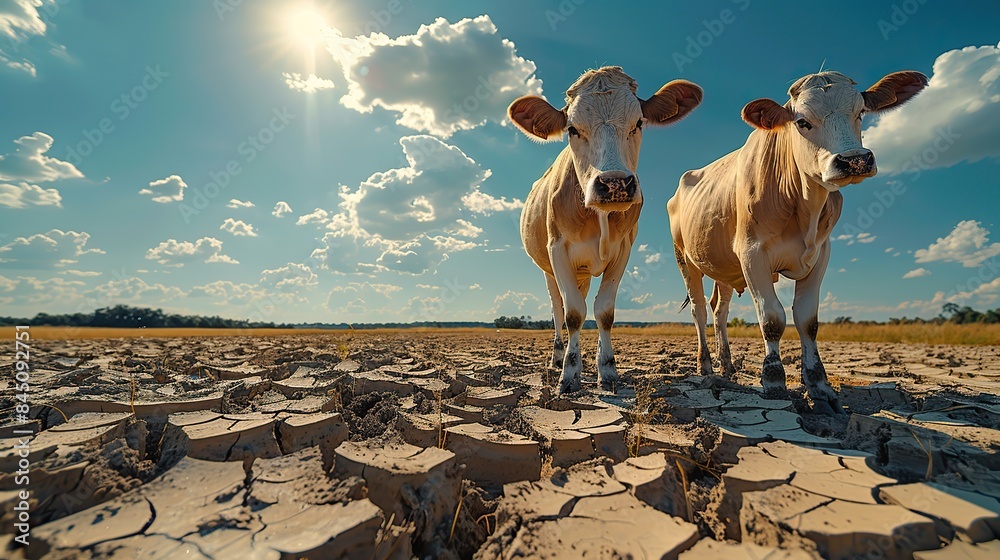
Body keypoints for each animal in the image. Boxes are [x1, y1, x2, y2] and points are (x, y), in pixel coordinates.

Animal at [508, 66, 703, 394]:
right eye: (572, 129)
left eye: (638, 123)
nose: (615, 183)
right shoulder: (557, 250)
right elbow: (573, 314)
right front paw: (569, 373)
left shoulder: (623, 251)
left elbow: (604, 311)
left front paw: (607, 369)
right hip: (548, 271)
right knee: (558, 309)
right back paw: (557, 356)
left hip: (582, 272)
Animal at [667, 70, 927, 414]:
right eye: (802, 121)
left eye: (861, 113)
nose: (855, 160)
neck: (804, 205)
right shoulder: (752, 254)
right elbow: (772, 318)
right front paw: (774, 379)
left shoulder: (820, 254)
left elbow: (808, 320)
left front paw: (819, 384)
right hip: (685, 259)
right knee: (699, 311)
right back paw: (705, 365)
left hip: (723, 266)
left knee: (720, 311)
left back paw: (727, 364)